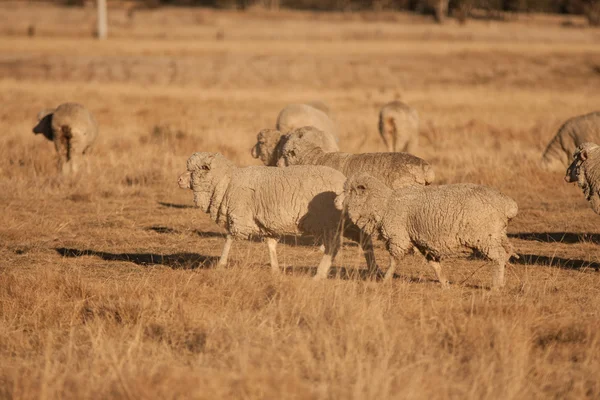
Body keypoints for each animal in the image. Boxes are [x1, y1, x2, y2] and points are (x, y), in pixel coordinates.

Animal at [176, 152, 378, 280]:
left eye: (195, 169)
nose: (178, 180)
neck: (227, 182)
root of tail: (343, 182)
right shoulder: (266, 225)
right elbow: (271, 245)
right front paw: (275, 270)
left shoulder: (240, 219)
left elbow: (228, 240)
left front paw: (221, 264)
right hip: (348, 222)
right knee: (365, 240)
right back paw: (374, 270)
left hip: (328, 223)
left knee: (333, 248)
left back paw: (320, 274)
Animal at [336, 173, 516, 290]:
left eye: (350, 191)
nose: (335, 201)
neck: (385, 204)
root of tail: (508, 205)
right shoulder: (421, 242)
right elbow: (434, 265)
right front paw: (444, 283)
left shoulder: (399, 238)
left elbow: (394, 261)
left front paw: (385, 280)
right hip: (497, 234)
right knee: (506, 253)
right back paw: (502, 281)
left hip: (485, 237)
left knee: (498, 257)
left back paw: (496, 286)